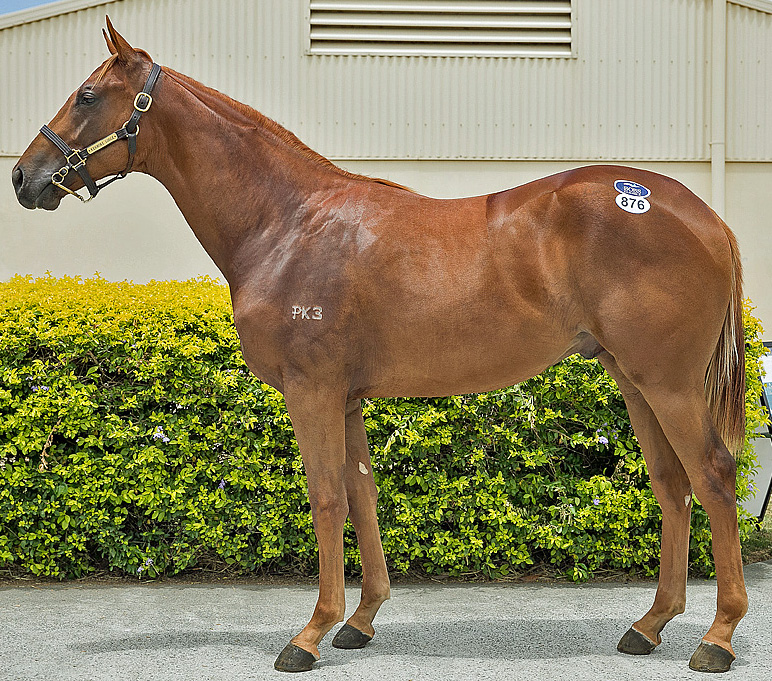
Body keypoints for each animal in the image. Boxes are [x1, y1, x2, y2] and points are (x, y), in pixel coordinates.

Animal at [12, 18, 748, 674]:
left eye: (86, 95)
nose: (24, 177)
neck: (285, 222)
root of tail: (705, 216)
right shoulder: (345, 397)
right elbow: (361, 494)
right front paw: (359, 621)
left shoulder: (312, 391)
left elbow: (326, 498)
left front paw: (309, 634)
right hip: (632, 376)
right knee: (672, 483)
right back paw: (649, 625)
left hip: (668, 382)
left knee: (712, 475)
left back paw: (717, 636)